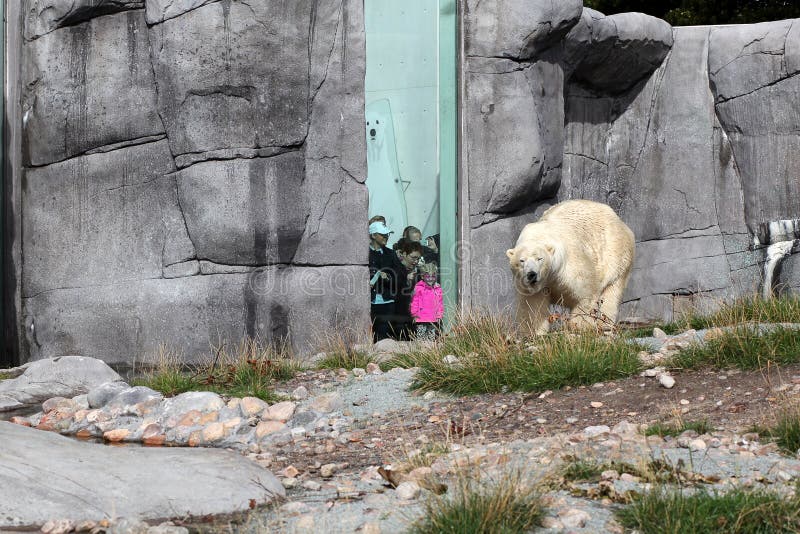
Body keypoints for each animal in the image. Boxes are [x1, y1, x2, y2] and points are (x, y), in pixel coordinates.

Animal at [506, 199, 635, 335]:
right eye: (521, 261)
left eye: (539, 258)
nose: (531, 274)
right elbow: (532, 304)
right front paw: (534, 332)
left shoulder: (569, 265)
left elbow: (585, 294)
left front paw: (580, 327)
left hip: (616, 255)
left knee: (612, 292)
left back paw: (605, 325)